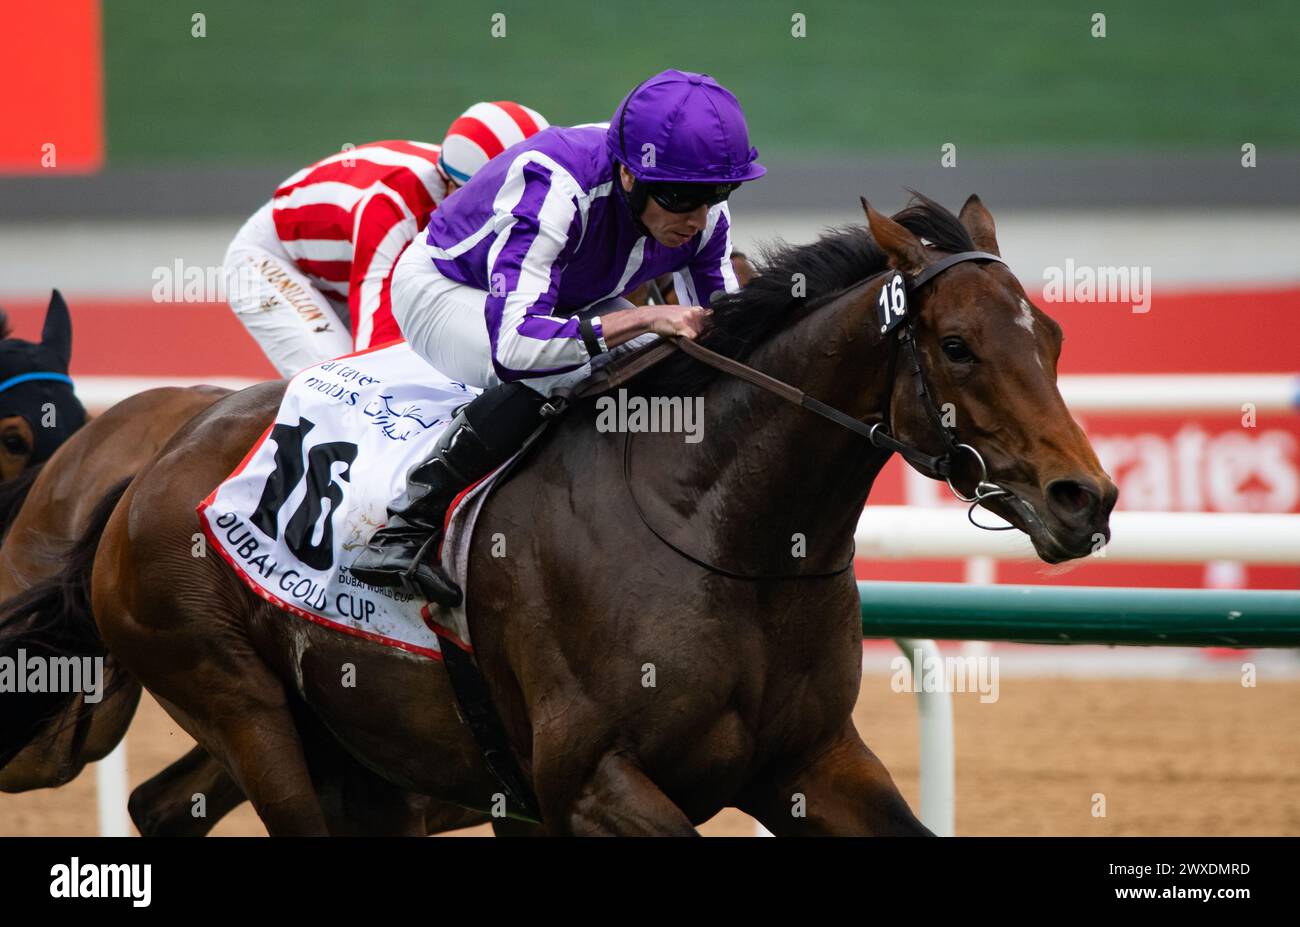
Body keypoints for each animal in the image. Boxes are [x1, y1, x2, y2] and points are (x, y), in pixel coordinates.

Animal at [40, 195, 1112, 832]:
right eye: (959, 344)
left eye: (1055, 335)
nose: (1086, 498)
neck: (724, 534)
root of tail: (154, 461)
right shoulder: (591, 781)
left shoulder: (813, 758)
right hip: (242, 702)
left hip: (329, 735)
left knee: (161, 804)